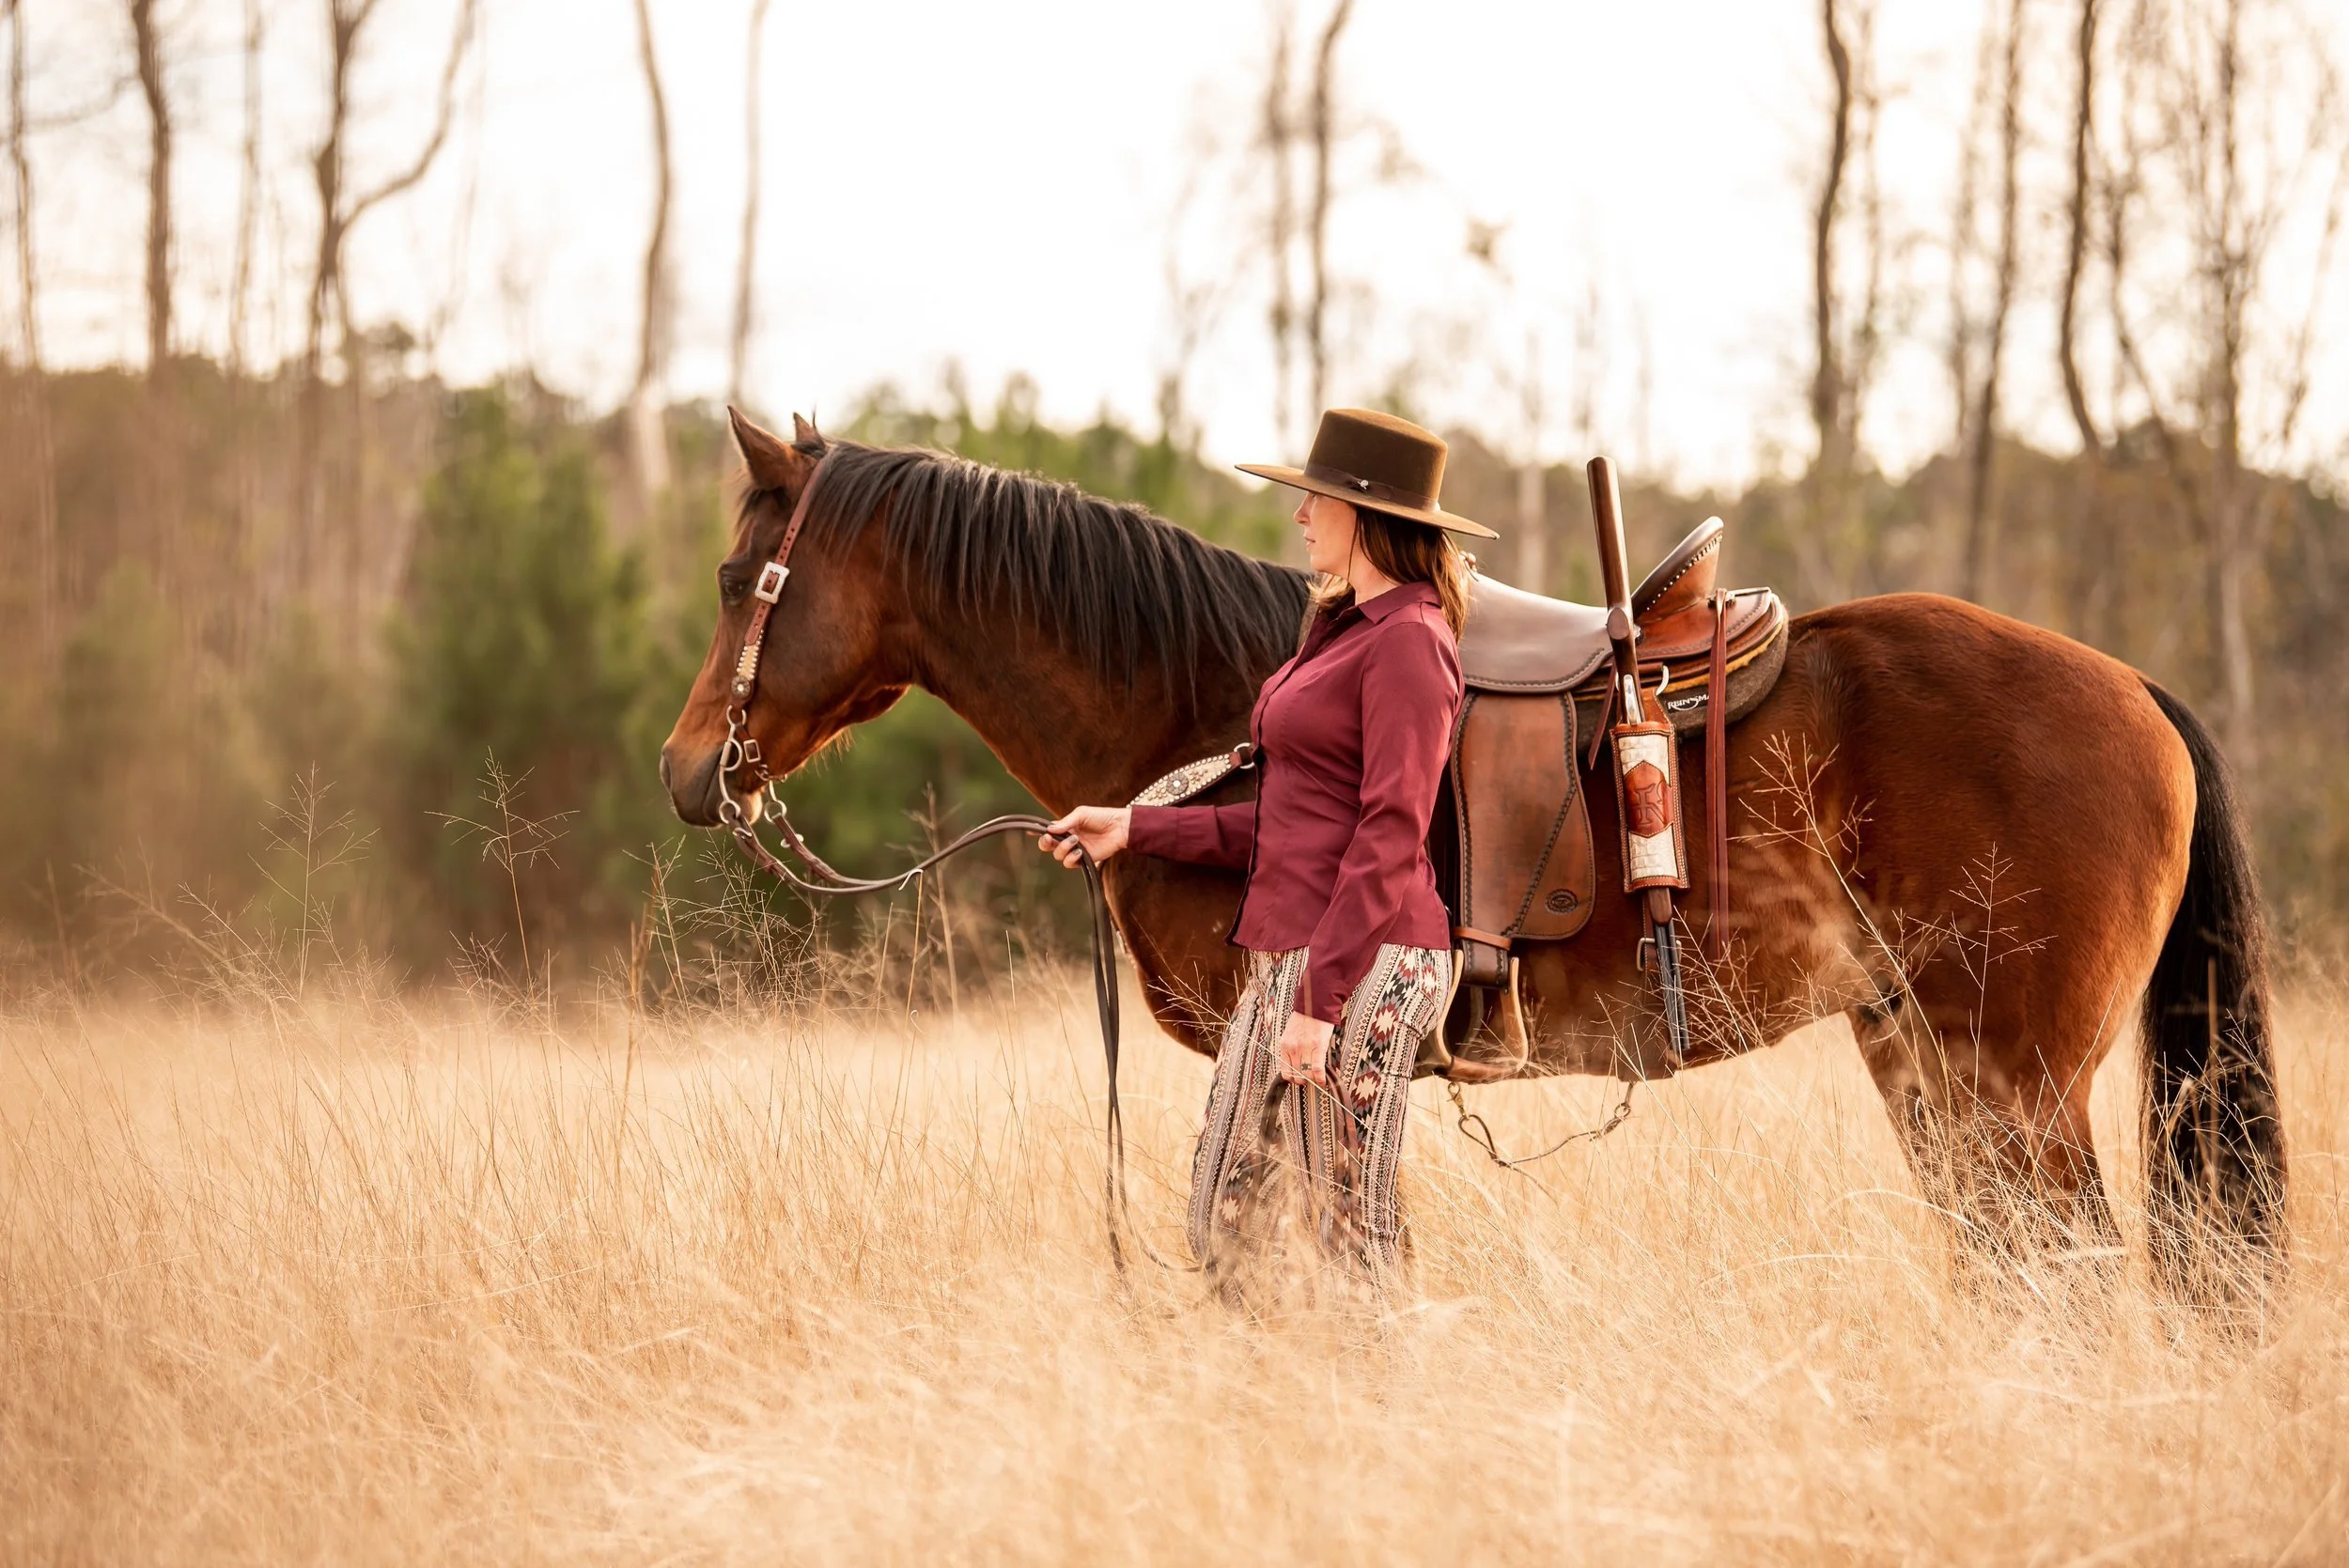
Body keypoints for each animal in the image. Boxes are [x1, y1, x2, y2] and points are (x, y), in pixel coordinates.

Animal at [661, 411, 2285, 1300]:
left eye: (742, 577)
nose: (687, 775)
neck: (1212, 701)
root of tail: (2134, 690)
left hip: (2018, 1083)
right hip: (1926, 1066)